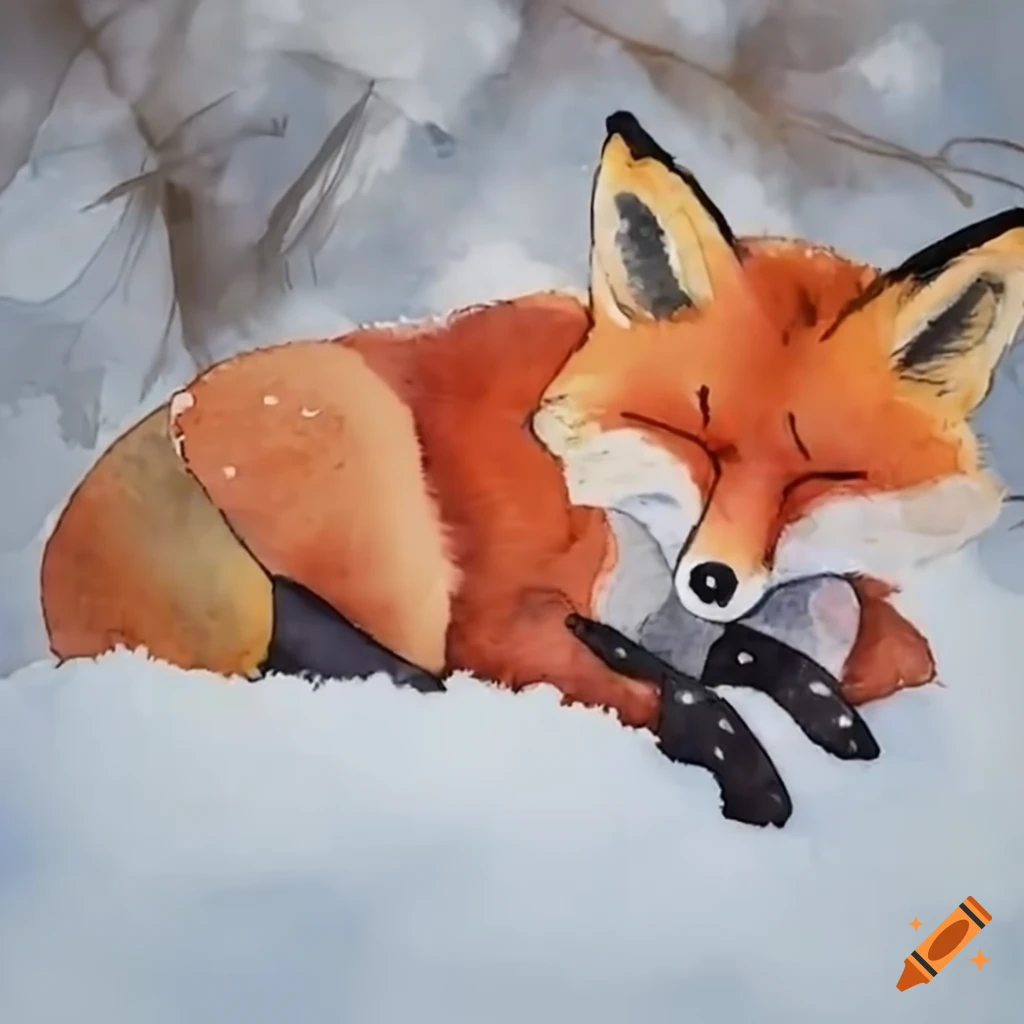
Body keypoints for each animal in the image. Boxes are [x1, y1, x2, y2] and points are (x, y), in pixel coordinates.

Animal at [40, 111, 1024, 823]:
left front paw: (809, 692)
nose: (713, 579)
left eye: (818, 478)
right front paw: (749, 763)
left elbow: (847, 631)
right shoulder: (502, 617)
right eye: (694, 439)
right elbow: (655, 685)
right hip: (386, 497)